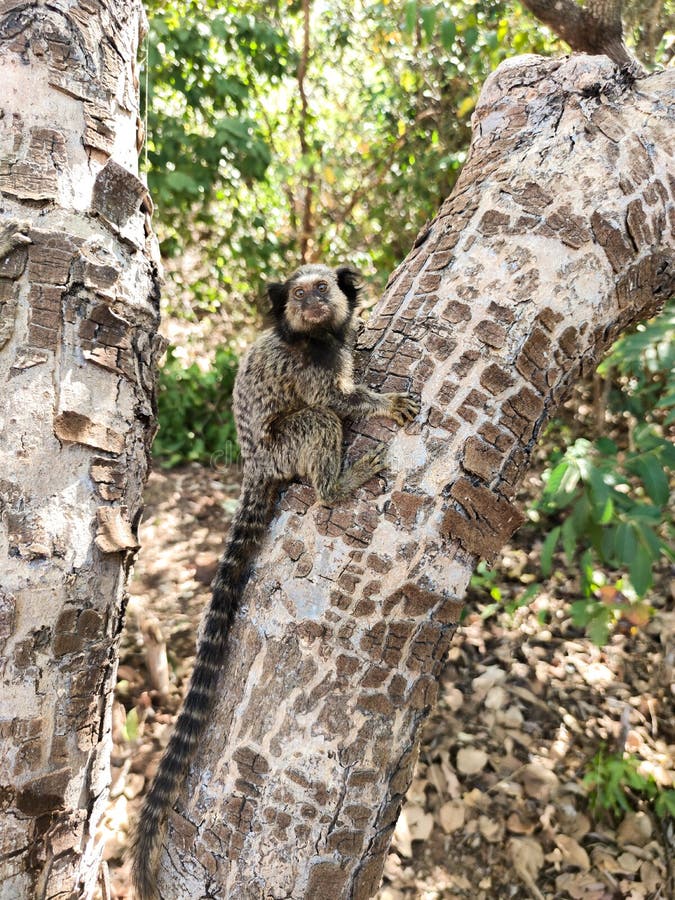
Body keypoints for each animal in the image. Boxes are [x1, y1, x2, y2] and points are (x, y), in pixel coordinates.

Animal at [130, 264, 419, 899]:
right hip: (284, 445)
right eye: (299, 293)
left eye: (322, 289)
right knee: (317, 422)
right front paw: (384, 402)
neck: (314, 339)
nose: (310, 302)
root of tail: (256, 466)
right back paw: (339, 483)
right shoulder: (309, 373)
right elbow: (338, 401)